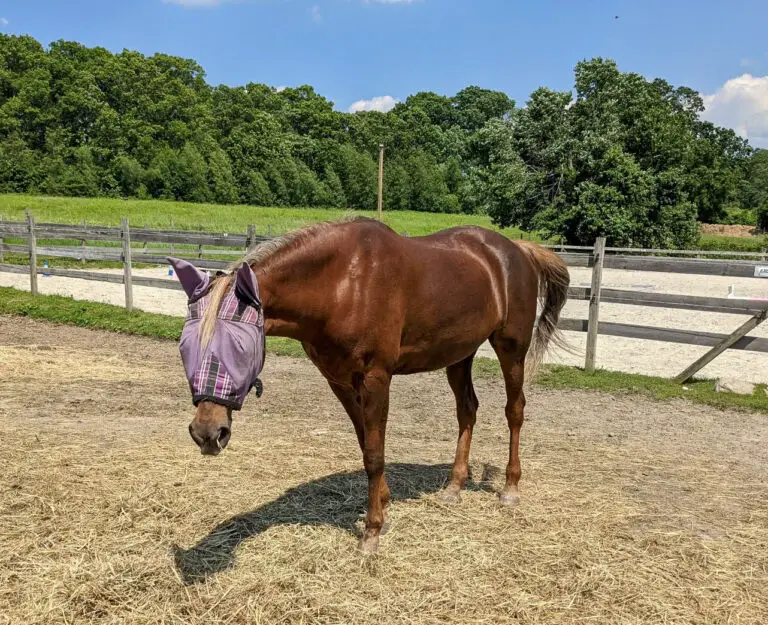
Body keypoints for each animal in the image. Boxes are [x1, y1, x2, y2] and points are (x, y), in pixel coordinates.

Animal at [169, 217, 570, 554]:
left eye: (238, 347)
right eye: (184, 347)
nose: (207, 433)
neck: (342, 284)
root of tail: (515, 249)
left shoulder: (377, 378)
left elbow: (375, 454)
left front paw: (372, 532)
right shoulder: (341, 381)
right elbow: (366, 445)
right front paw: (382, 506)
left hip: (511, 349)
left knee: (514, 411)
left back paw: (510, 487)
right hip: (459, 354)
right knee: (467, 411)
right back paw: (454, 486)